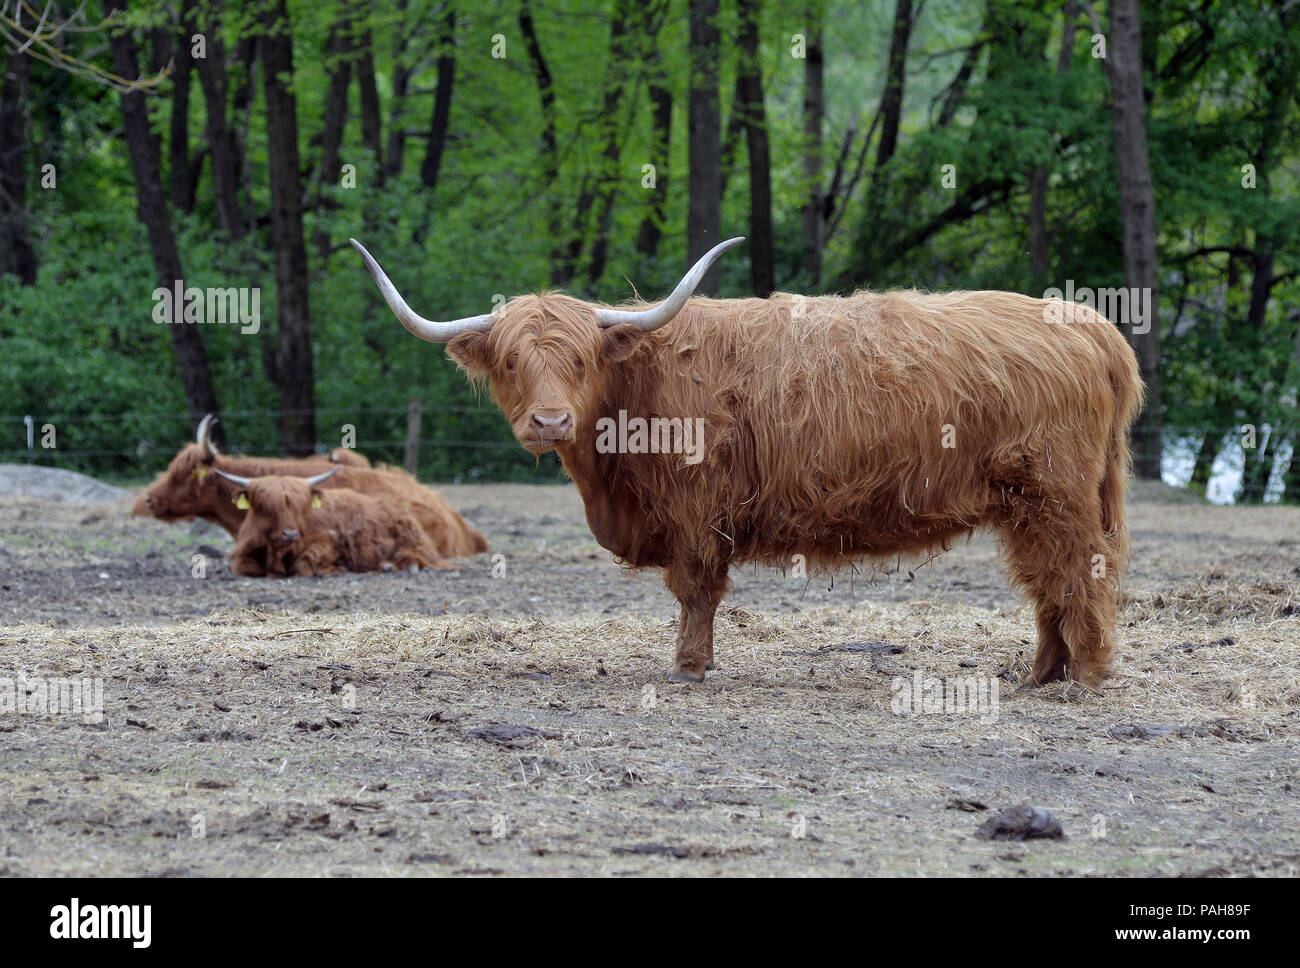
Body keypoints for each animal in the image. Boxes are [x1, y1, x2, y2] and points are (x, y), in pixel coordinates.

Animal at [213, 468, 446, 576]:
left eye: (302, 505)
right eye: (263, 506)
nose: (290, 534)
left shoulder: (327, 542)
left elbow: (303, 564)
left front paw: (334, 567)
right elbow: (244, 566)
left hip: (409, 537)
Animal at [351, 236, 1142, 691]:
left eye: (579, 359)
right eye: (513, 361)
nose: (549, 421)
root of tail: (1093, 327)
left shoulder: (697, 509)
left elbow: (696, 590)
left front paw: (689, 667)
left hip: (1058, 494)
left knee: (1080, 574)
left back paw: (1087, 677)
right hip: (1027, 502)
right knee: (1047, 581)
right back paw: (1041, 674)